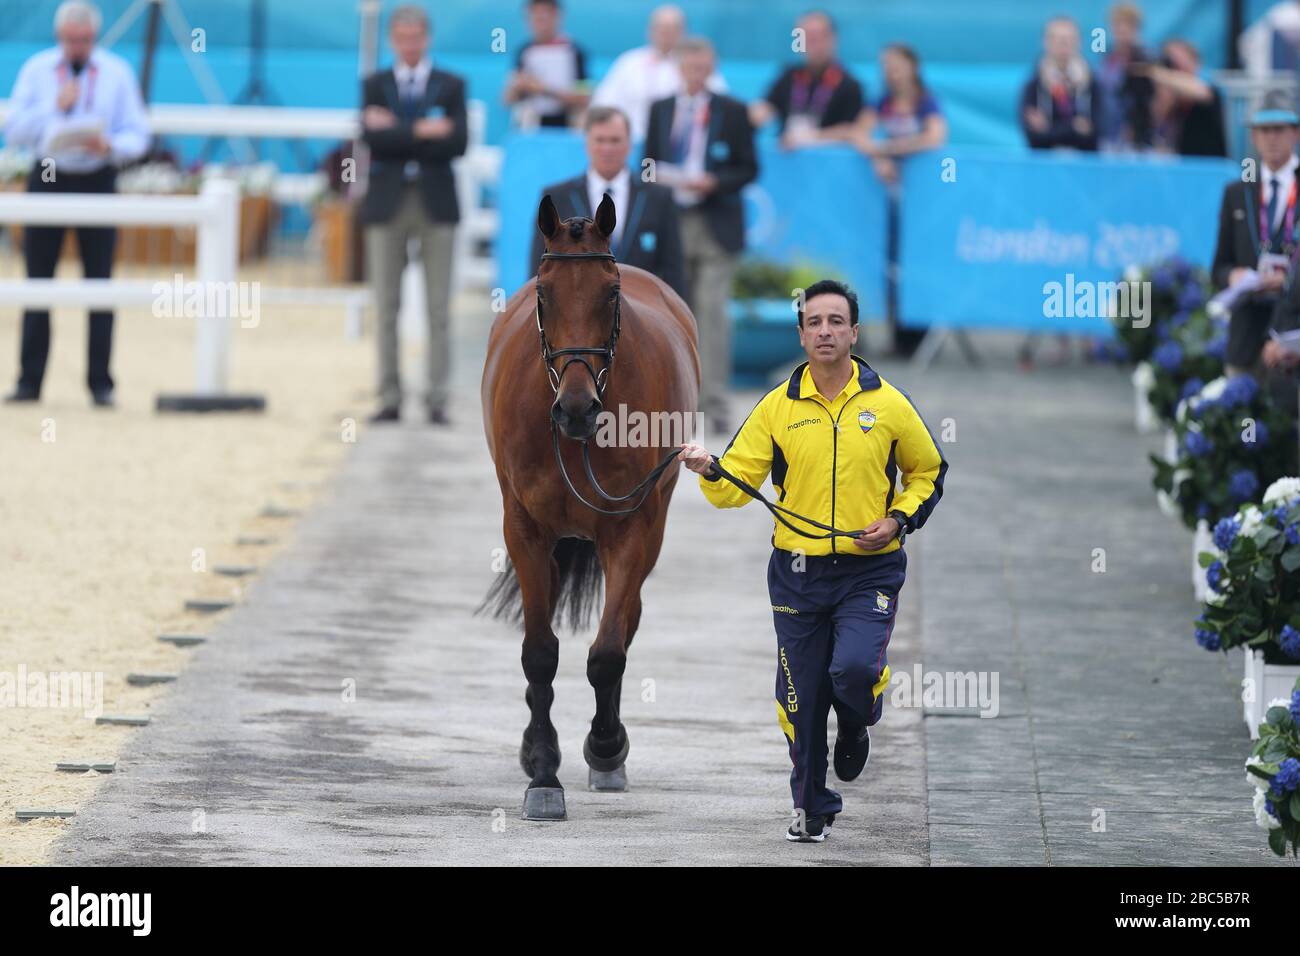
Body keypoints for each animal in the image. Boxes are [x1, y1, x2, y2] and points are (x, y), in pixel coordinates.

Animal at [478, 193, 700, 821]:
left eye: (610, 293)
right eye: (545, 294)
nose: (576, 408)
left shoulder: (632, 529)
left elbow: (607, 653)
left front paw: (604, 748)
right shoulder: (525, 529)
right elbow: (539, 654)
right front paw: (543, 774)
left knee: (627, 622)